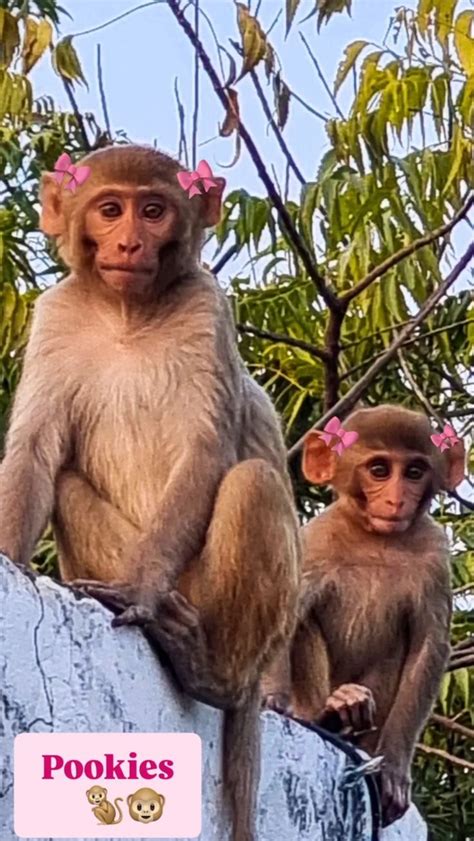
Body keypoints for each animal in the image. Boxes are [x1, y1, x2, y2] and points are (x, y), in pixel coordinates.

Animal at [0, 145, 301, 841]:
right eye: (111, 209)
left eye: (155, 210)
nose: (130, 242)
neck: (126, 315)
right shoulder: (56, 316)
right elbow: (35, 454)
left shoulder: (206, 309)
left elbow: (206, 453)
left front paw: (137, 592)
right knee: (67, 483)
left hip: (211, 600)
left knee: (252, 483)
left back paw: (211, 674)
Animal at [262, 405, 464, 827]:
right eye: (379, 470)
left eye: (415, 472)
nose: (397, 500)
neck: (375, 539)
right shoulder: (316, 541)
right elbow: (288, 610)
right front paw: (271, 698)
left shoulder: (434, 555)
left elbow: (426, 647)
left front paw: (394, 773)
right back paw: (331, 711)